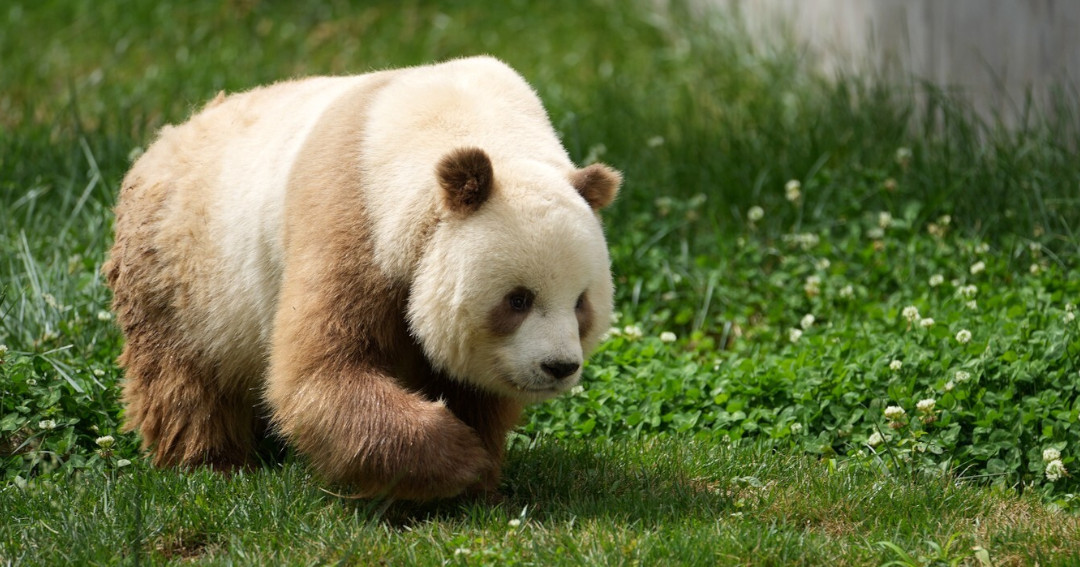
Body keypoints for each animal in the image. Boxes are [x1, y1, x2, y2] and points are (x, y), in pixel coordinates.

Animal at [104, 56, 621, 500]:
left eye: (581, 302)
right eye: (518, 299)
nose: (559, 367)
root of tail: (164, 138)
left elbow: (473, 389)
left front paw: (479, 475)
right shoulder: (353, 211)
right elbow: (320, 371)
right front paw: (457, 460)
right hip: (181, 271)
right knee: (184, 380)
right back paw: (212, 463)